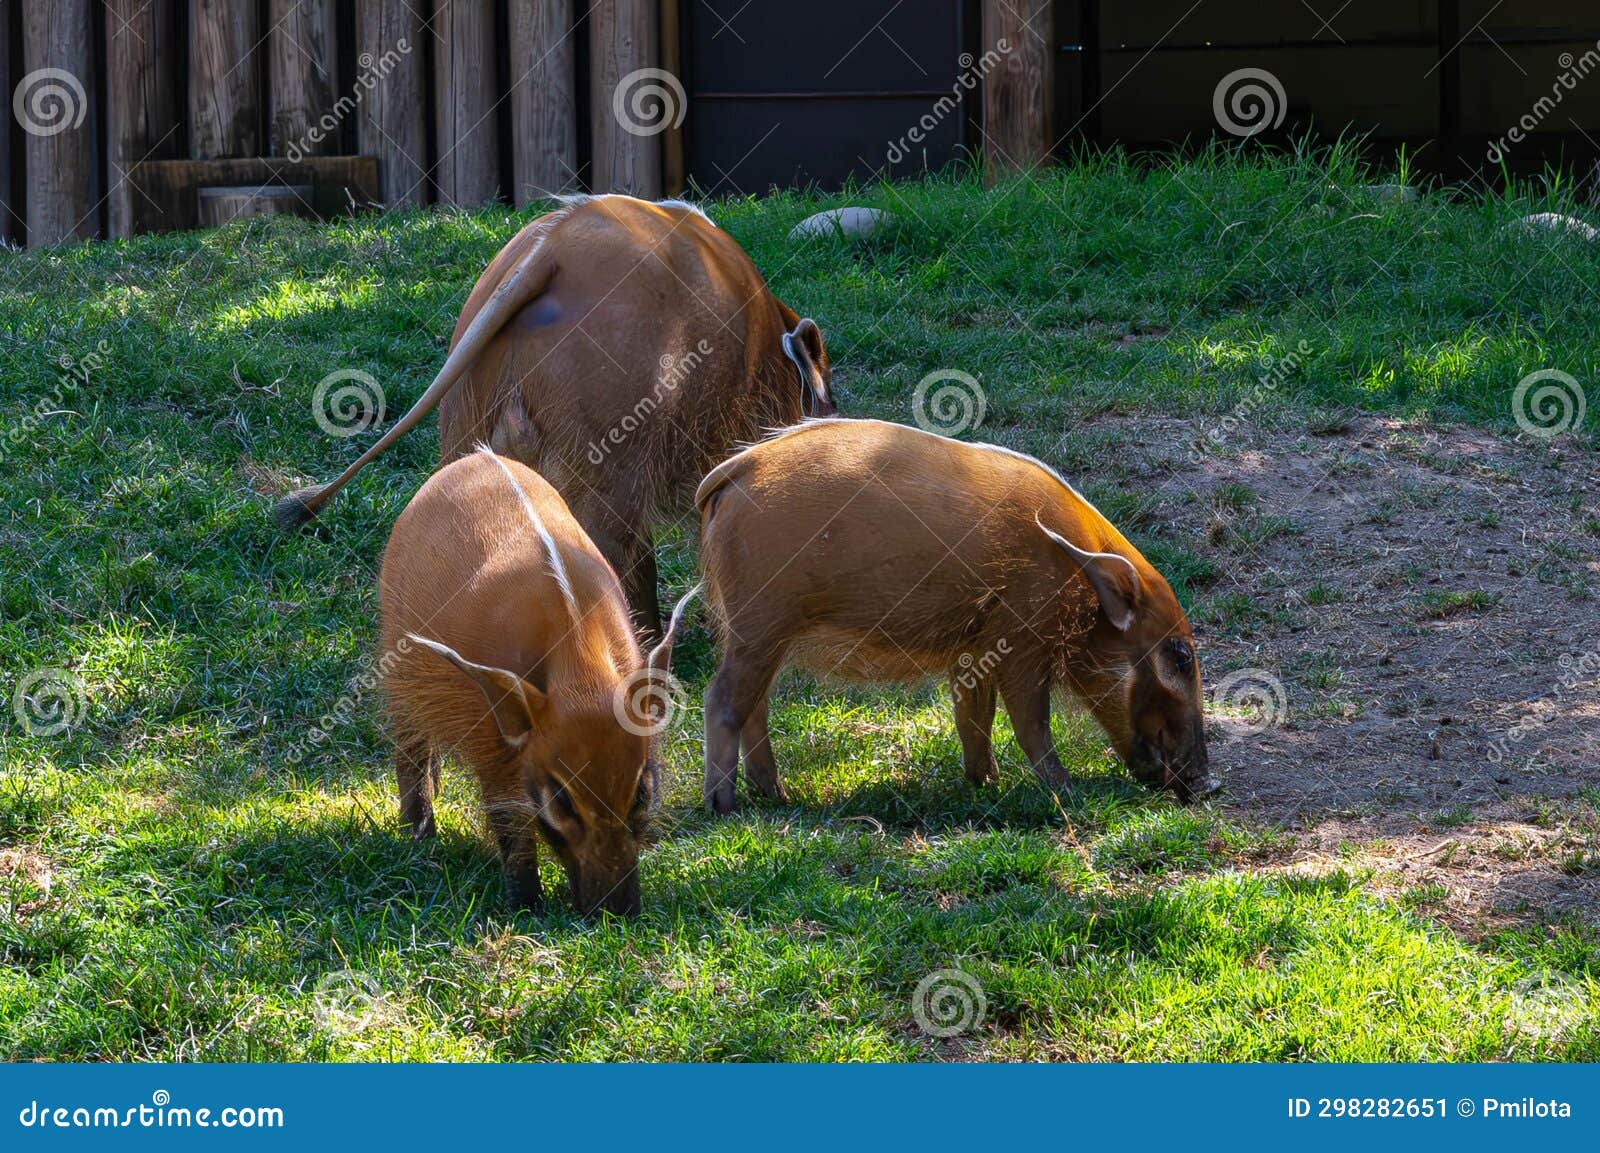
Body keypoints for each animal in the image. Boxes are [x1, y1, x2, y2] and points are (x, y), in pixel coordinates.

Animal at [378, 446, 692, 915]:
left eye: (641, 792)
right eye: (562, 800)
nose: (616, 912)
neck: (579, 665)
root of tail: (474, 456)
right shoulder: (490, 739)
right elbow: (509, 818)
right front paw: (527, 905)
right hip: (399, 662)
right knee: (410, 743)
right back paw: (420, 831)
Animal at [692, 418, 1212, 813]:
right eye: (1181, 657)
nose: (1210, 785)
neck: (1077, 582)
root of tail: (732, 471)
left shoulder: (974, 649)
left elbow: (974, 715)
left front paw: (985, 783)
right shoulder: (1022, 642)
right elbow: (1030, 721)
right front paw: (1064, 787)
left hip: (761, 634)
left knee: (755, 704)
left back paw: (775, 794)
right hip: (760, 624)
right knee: (721, 699)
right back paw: (723, 806)